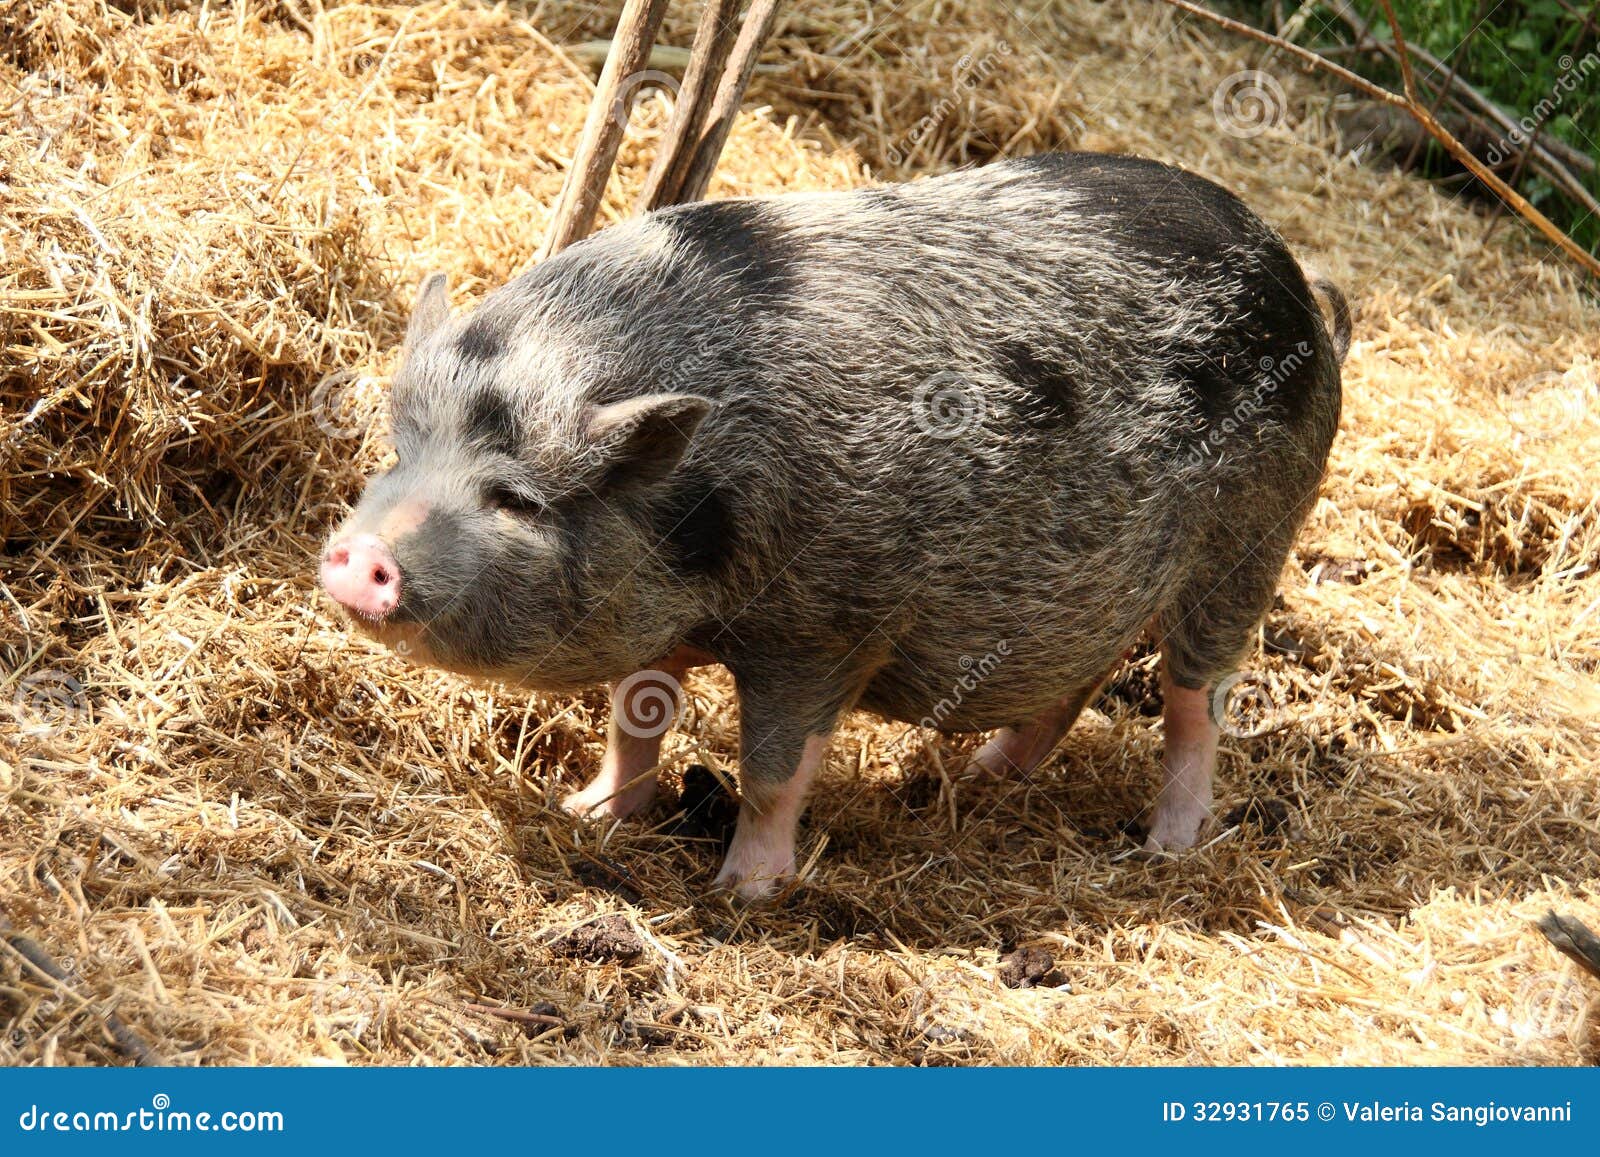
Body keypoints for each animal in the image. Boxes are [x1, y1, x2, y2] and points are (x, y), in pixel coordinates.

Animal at [320, 153, 1350, 901]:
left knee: (1197, 695)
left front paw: (742, 893)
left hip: (1254, 536)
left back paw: (1166, 850)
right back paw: (980, 777)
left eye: (516, 498)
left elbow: (775, 767)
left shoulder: (828, 630)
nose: (357, 554)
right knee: (1082, 674)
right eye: (403, 451)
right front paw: (587, 813)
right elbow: (635, 716)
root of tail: (1297, 282)